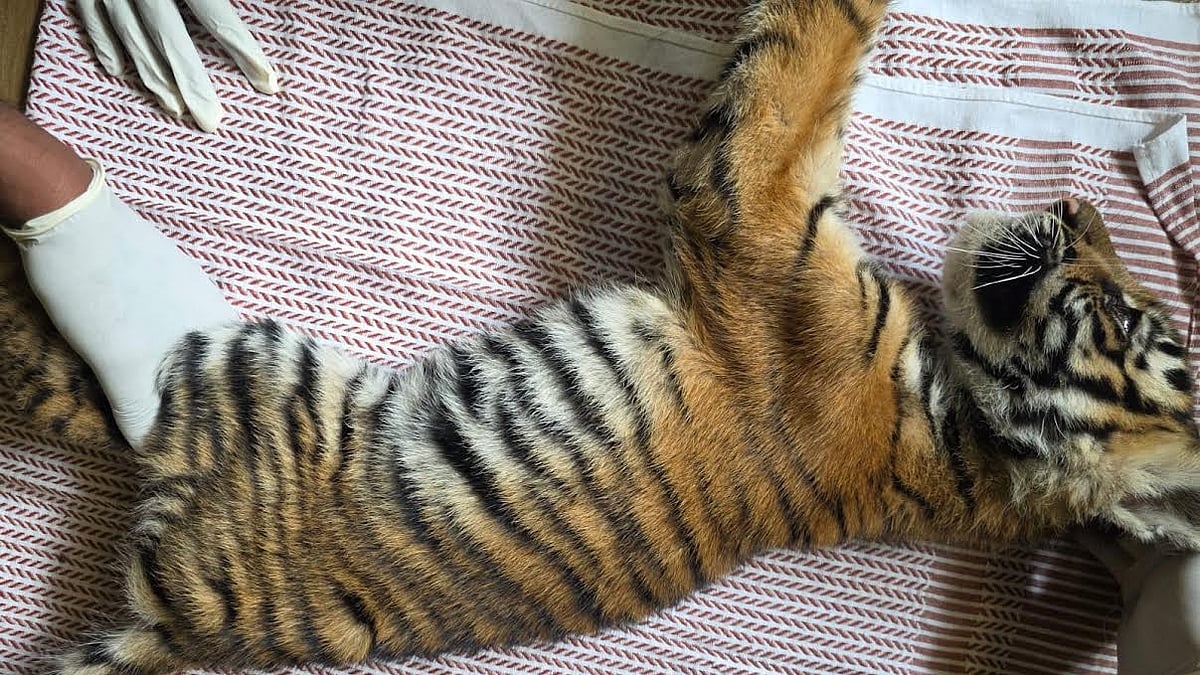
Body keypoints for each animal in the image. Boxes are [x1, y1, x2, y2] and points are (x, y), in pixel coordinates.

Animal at [0, 0, 1195, 672]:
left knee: (38, 355)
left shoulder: (755, 199)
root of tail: (185, 629)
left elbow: (817, 46)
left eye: (1125, 312)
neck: (971, 453)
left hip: (232, 370)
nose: (1082, 207)